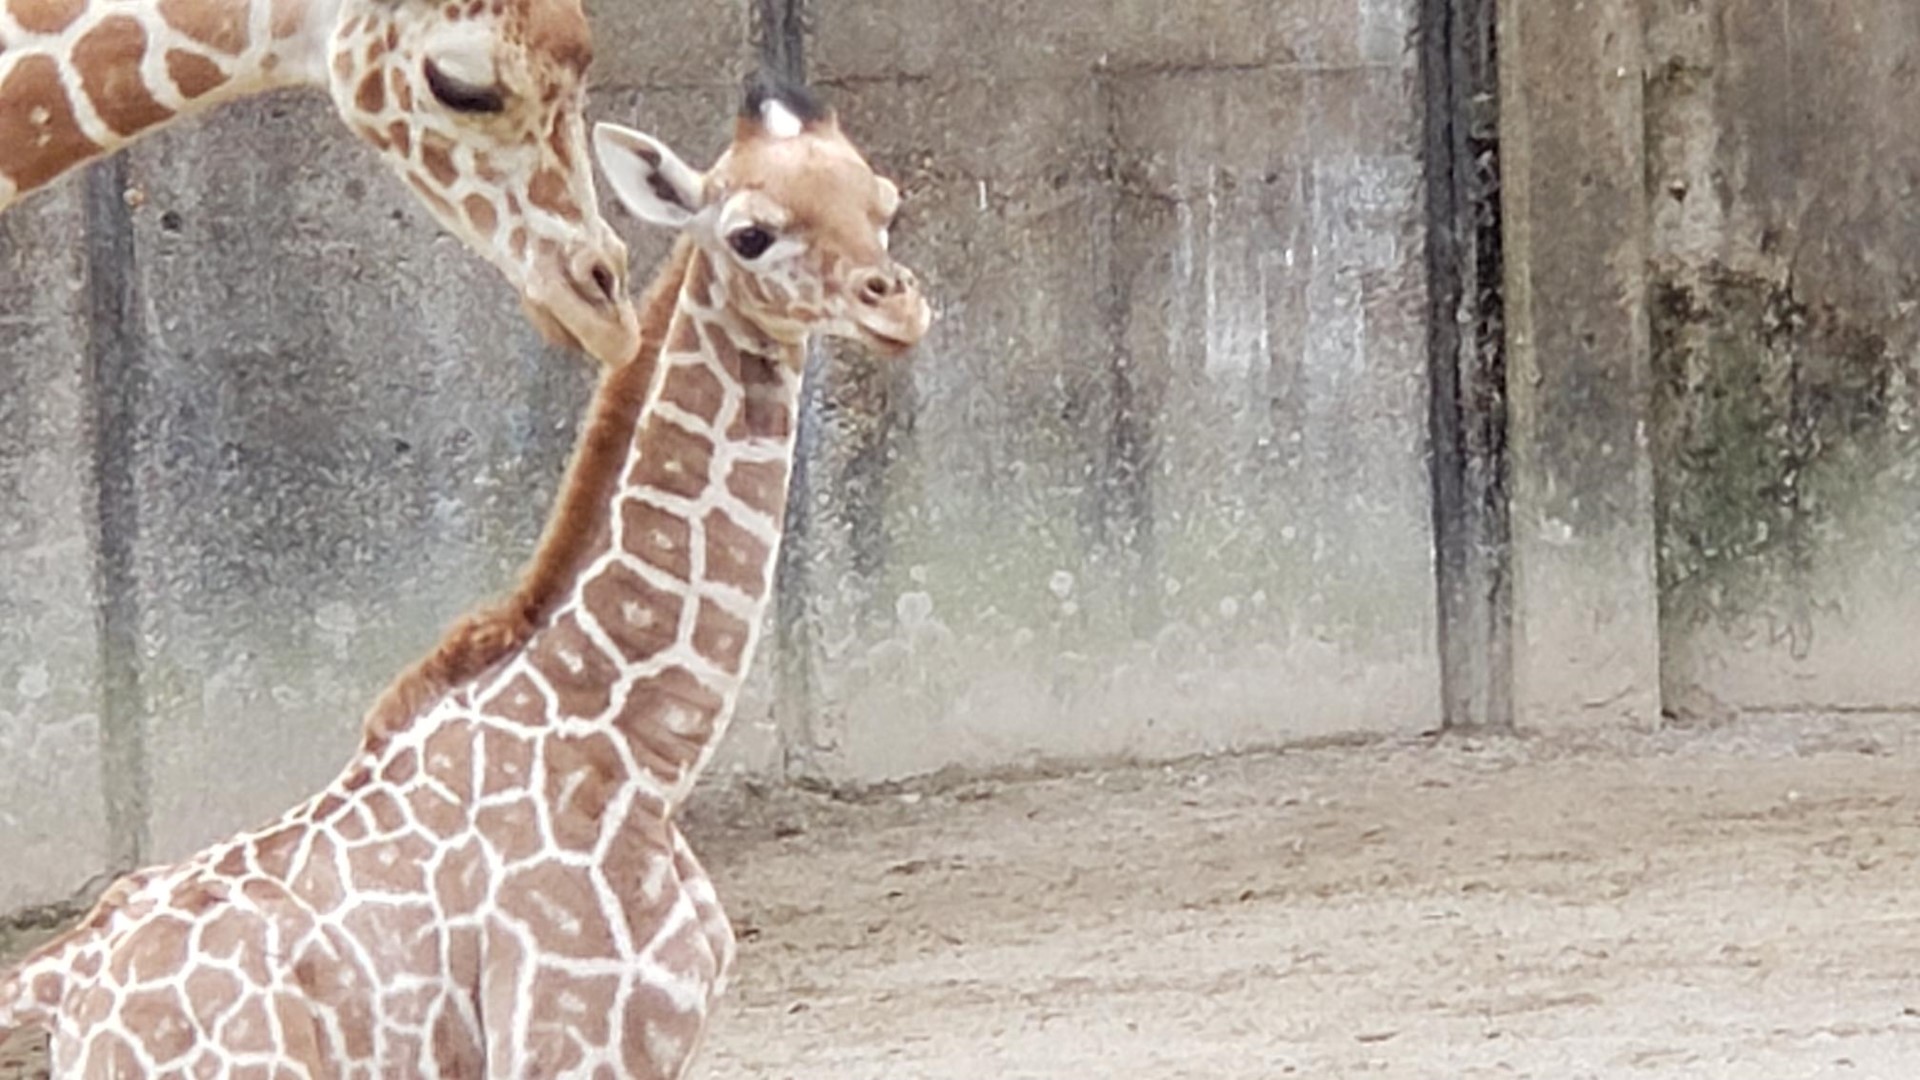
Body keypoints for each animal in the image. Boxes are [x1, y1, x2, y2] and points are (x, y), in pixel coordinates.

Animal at [0, 72, 928, 1077]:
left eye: (884, 205)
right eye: (751, 233)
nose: (897, 306)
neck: (636, 748)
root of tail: (63, 987)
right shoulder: (575, 1041)